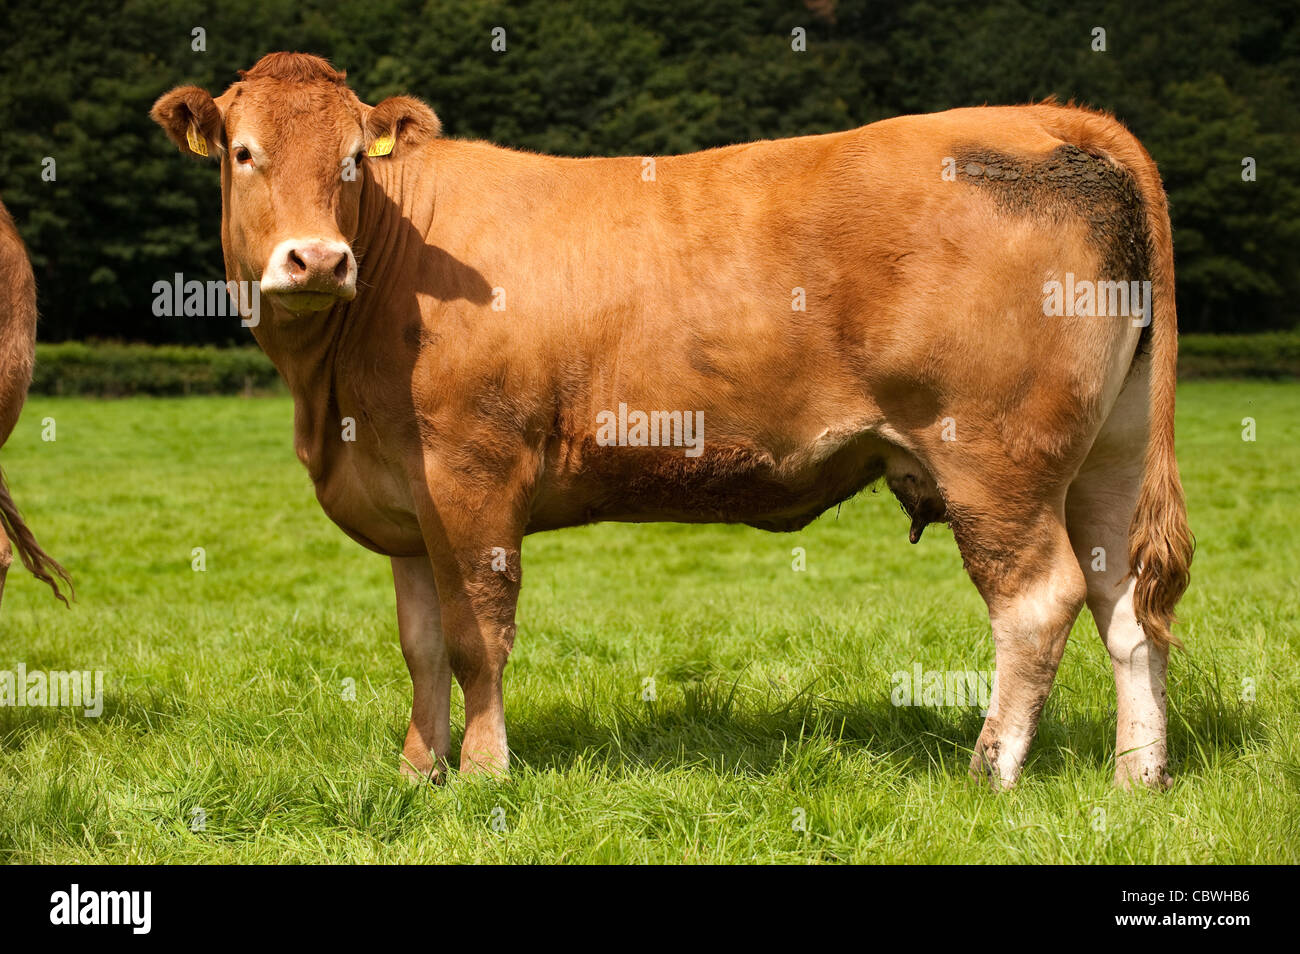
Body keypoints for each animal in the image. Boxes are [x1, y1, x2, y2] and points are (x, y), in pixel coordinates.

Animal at [151, 52, 1192, 789]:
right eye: (244, 154)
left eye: (348, 165)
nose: (317, 259)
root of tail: (1045, 116)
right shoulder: (407, 500)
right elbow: (420, 645)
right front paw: (418, 772)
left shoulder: (472, 473)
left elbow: (476, 635)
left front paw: (483, 775)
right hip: (1105, 453)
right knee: (1124, 604)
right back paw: (1136, 777)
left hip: (995, 457)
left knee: (1038, 600)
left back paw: (992, 769)